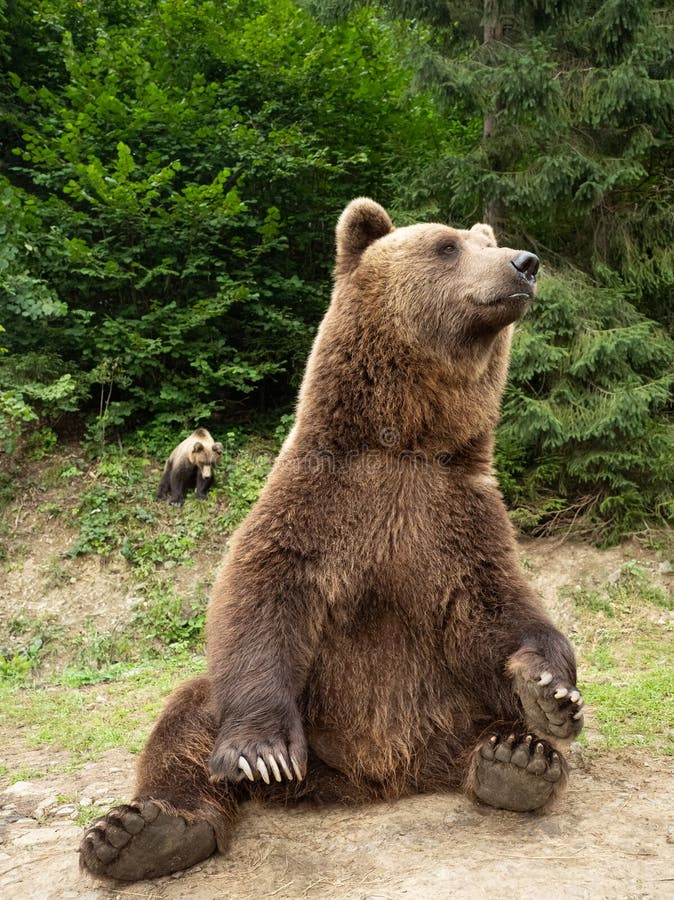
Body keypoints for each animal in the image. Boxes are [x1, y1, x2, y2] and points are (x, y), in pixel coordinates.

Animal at [79, 198, 583, 883]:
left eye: (486, 241)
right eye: (447, 246)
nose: (524, 263)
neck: (405, 441)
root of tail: (381, 775)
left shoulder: (454, 514)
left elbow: (497, 609)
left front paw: (551, 691)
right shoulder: (320, 502)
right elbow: (261, 594)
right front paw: (260, 751)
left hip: (452, 705)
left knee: (489, 719)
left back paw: (515, 759)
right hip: (311, 720)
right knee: (190, 716)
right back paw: (145, 831)